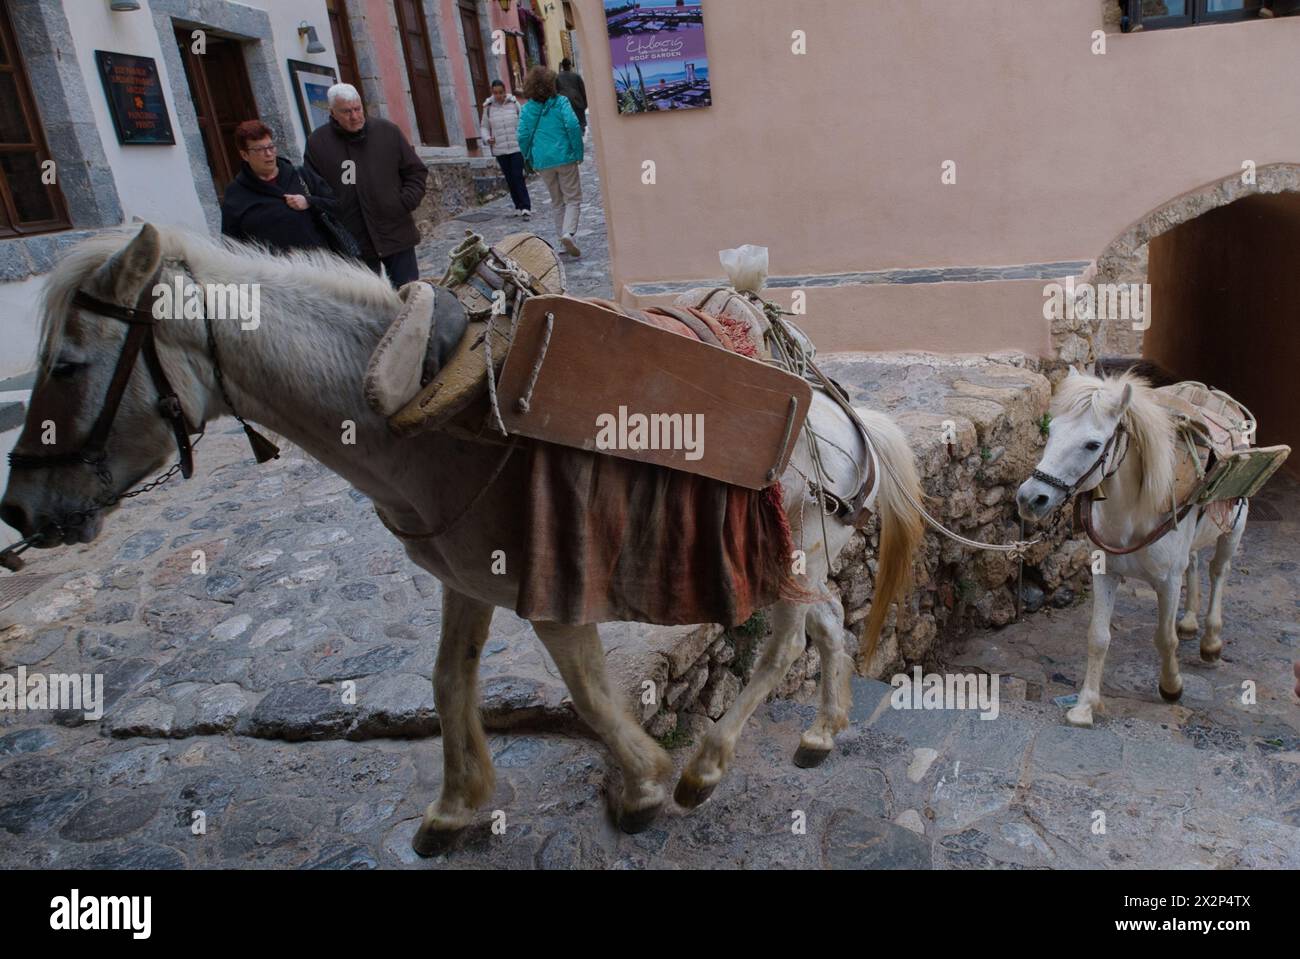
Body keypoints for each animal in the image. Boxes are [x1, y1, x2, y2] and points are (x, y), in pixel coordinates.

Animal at [0, 224, 923, 854]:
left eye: (70, 365)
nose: (19, 510)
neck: (426, 407)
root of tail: (834, 412)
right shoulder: (467, 577)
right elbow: (449, 680)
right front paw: (455, 804)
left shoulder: (552, 588)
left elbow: (589, 693)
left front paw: (643, 786)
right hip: (801, 554)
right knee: (827, 621)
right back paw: (821, 730)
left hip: (785, 551)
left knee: (782, 642)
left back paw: (705, 767)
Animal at [1015, 368, 1249, 728]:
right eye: (1050, 430)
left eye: (1093, 444)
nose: (1030, 499)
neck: (1133, 513)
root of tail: (1212, 395)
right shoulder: (1104, 573)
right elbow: (1098, 637)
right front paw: (1085, 705)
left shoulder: (1168, 581)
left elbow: (1164, 638)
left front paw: (1171, 686)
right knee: (1195, 563)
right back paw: (1190, 621)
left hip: (1233, 530)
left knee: (1218, 571)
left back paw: (1211, 641)